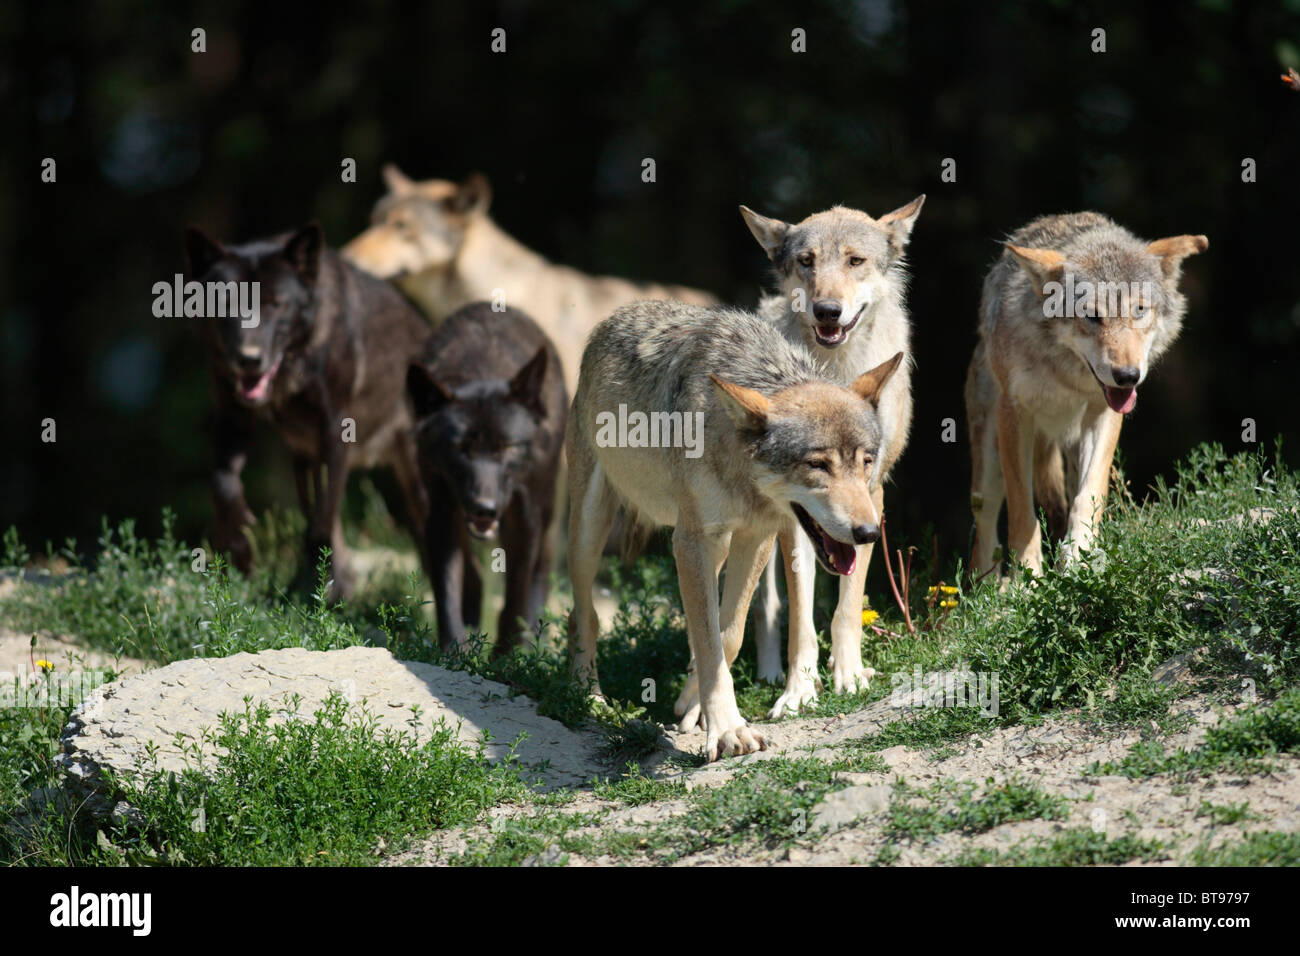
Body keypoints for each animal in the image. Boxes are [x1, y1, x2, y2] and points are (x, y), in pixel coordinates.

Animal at [186, 222, 435, 598]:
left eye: (277, 304)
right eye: (226, 304)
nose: (249, 360)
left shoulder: (336, 434)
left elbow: (321, 525)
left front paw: (322, 594)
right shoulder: (233, 416)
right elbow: (223, 482)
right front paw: (240, 551)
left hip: (417, 483)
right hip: (304, 462)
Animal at [406, 303, 568, 654]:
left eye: (507, 447)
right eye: (460, 449)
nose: (485, 507)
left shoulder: (525, 517)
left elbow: (517, 591)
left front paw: (508, 655)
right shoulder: (441, 510)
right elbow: (446, 587)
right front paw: (454, 652)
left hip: (547, 508)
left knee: (541, 571)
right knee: (475, 577)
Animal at [567, 299, 902, 760]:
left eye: (866, 461)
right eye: (817, 464)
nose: (869, 532)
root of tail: (616, 316)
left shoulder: (754, 537)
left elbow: (726, 636)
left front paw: (696, 706)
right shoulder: (694, 541)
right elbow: (711, 642)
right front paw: (727, 730)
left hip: (711, 547)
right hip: (591, 529)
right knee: (583, 614)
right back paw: (589, 696)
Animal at [738, 196, 924, 713]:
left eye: (855, 261)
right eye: (807, 261)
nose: (826, 310)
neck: (836, 376)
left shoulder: (870, 496)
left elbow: (846, 605)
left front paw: (850, 675)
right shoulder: (796, 511)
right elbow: (801, 617)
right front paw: (797, 690)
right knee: (765, 606)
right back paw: (763, 676)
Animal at [965, 212, 1208, 577]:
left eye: (1139, 310)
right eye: (1092, 315)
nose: (1127, 376)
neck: (1065, 376)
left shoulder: (1103, 414)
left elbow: (1088, 497)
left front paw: (1078, 554)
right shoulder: (1015, 414)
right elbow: (1023, 515)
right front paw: (1027, 576)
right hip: (988, 467)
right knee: (985, 532)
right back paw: (989, 585)